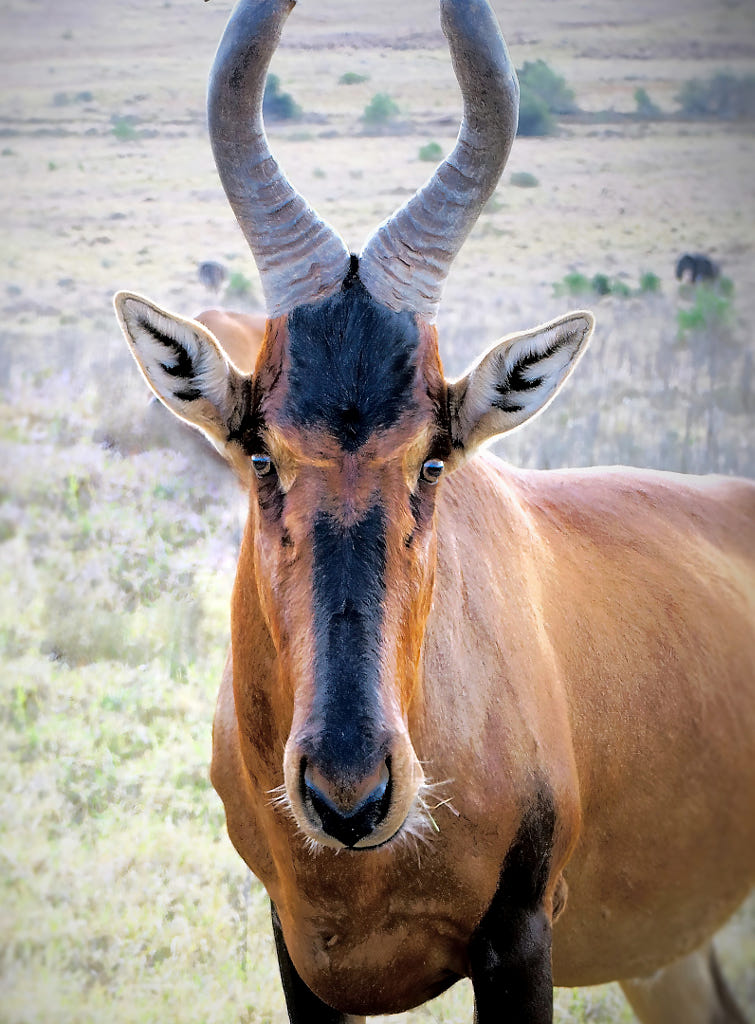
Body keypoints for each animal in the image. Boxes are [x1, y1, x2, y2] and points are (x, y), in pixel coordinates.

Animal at [114, 0, 755, 1020]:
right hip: (666, 948)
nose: (349, 793)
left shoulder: (519, 937)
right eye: (259, 454)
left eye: (433, 459)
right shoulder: (299, 952)